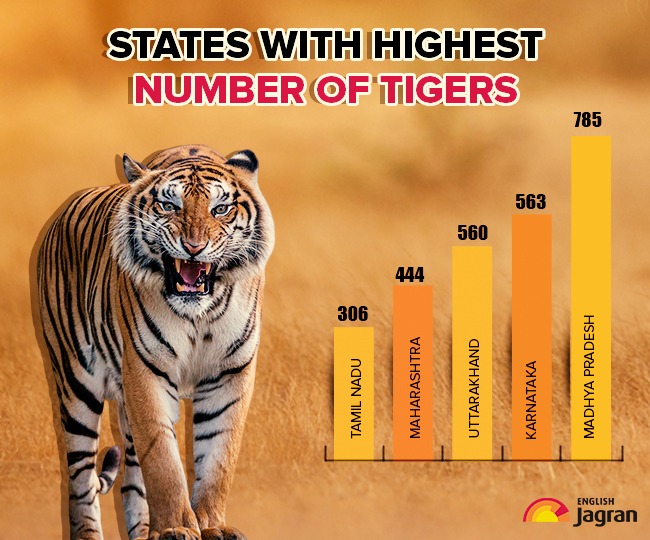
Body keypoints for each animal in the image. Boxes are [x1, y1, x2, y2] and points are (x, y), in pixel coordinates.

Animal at [36, 144, 274, 540]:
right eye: (169, 205)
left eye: (220, 209)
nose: (194, 247)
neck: (200, 316)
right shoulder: (145, 372)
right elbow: (163, 462)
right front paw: (177, 528)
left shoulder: (229, 376)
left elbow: (219, 458)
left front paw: (212, 526)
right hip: (75, 384)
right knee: (80, 481)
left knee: (132, 483)